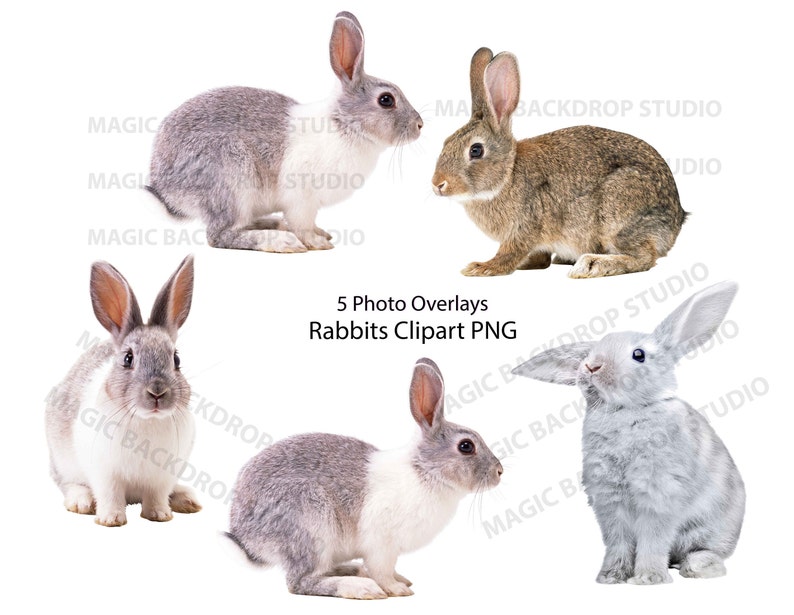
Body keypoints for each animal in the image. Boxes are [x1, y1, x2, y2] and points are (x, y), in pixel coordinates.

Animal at [45, 255, 200, 526]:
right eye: (128, 359)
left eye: (176, 359)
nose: (157, 392)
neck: (147, 420)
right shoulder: (105, 474)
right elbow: (110, 495)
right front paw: (111, 519)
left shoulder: (161, 477)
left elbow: (157, 496)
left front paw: (160, 515)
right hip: (63, 462)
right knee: (68, 483)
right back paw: (81, 501)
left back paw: (186, 499)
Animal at [147, 11, 423, 254]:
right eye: (386, 100)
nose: (419, 125)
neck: (344, 124)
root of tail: (165, 191)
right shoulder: (301, 199)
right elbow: (302, 224)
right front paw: (316, 242)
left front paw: (322, 234)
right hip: (232, 181)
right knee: (220, 235)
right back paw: (280, 241)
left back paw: (275, 225)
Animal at [226, 357, 503, 599]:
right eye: (466, 446)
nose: (499, 472)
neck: (424, 470)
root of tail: (245, 538)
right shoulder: (381, 544)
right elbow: (382, 570)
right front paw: (396, 589)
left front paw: (402, 580)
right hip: (311, 525)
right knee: (301, 581)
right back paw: (360, 587)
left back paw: (355, 572)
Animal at [432, 47, 687, 277]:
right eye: (446, 142)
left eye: (475, 150)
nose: (437, 184)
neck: (508, 175)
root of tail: (676, 220)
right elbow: (538, 257)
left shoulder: (525, 226)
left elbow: (510, 253)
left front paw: (482, 267)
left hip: (618, 211)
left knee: (643, 258)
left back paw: (591, 265)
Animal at [512, 281, 745, 584]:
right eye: (589, 354)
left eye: (639, 355)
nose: (591, 366)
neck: (624, 410)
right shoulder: (610, 502)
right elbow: (618, 542)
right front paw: (610, 577)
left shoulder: (658, 494)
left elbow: (653, 540)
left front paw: (648, 579)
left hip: (711, 532)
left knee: (707, 554)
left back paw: (696, 568)